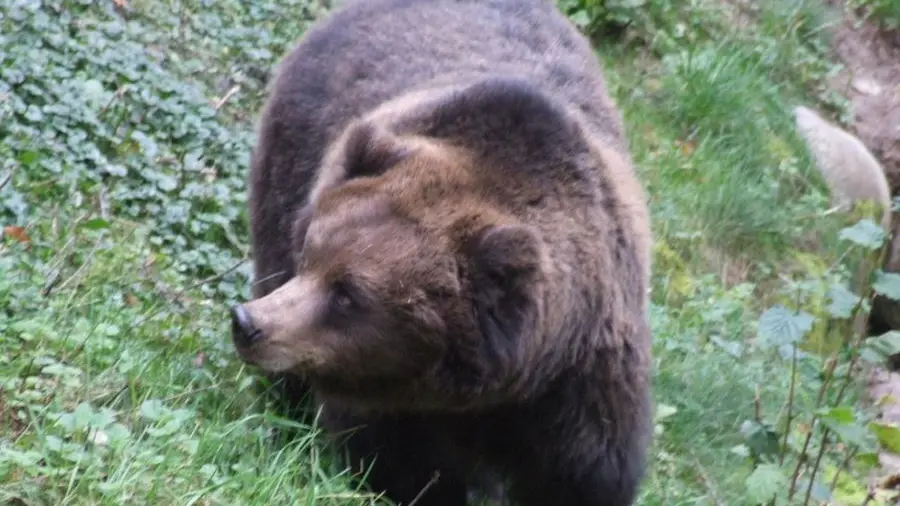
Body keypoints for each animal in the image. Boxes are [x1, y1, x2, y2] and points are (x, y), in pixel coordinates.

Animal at [231, 1, 654, 505]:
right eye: (311, 255)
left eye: (348, 294)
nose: (249, 323)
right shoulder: (384, 398)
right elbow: (402, 467)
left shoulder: (578, 384)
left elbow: (586, 472)